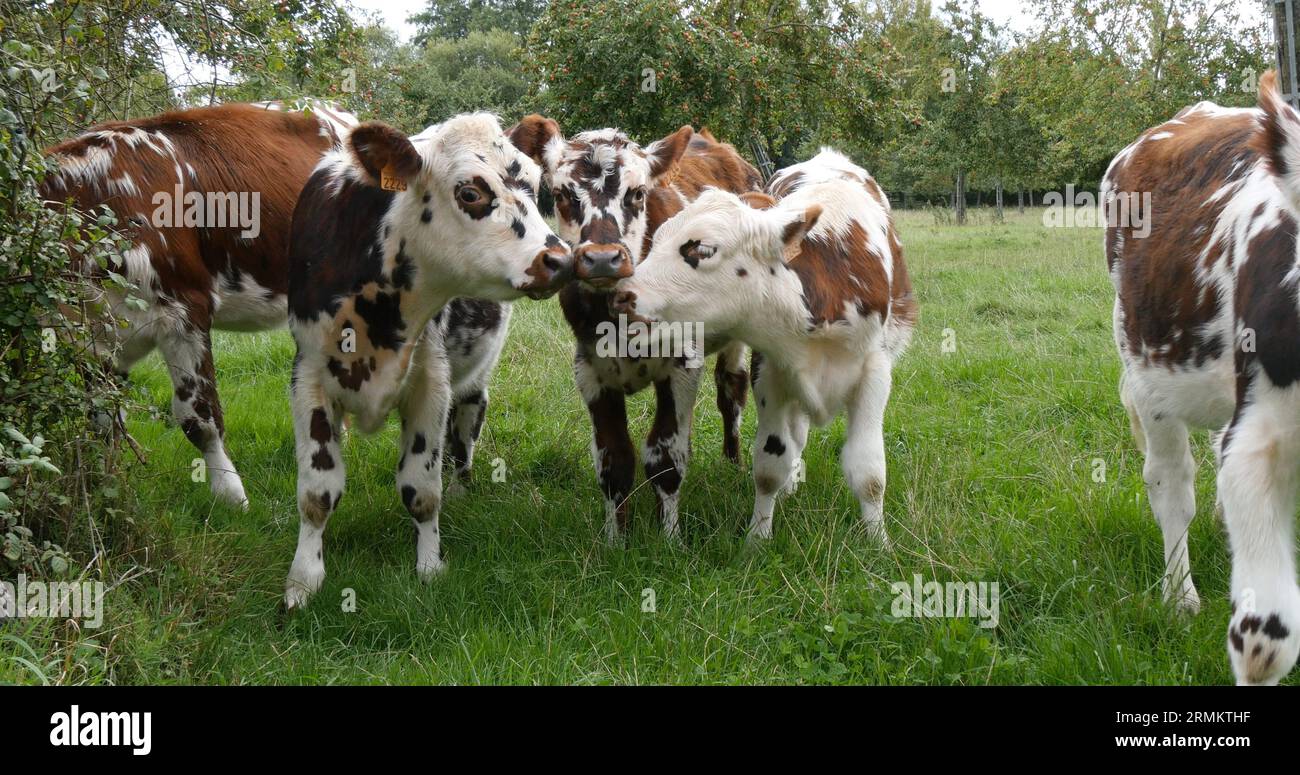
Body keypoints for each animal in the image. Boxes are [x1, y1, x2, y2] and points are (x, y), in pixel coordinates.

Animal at [41, 101, 358, 509]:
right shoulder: (91, 337)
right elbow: (104, 421)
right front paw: (106, 489)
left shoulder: (184, 309)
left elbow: (199, 418)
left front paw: (230, 495)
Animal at [283, 113, 573, 609]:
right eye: (470, 193)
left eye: (536, 187)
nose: (558, 260)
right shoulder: (308, 378)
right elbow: (317, 493)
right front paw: (303, 579)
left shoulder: (431, 383)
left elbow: (421, 489)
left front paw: (430, 565)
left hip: (471, 387)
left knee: (464, 437)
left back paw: (461, 487)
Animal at [512, 116, 763, 541]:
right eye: (561, 194)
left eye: (637, 193)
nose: (602, 259)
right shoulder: (590, 371)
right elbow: (615, 460)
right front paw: (615, 540)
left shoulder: (682, 364)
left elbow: (666, 457)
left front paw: (670, 538)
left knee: (731, 391)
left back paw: (733, 464)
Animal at [612, 149, 916, 545]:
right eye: (657, 239)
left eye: (702, 249)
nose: (622, 295)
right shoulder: (770, 370)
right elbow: (771, 464)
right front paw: (757, 539)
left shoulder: (874, 372)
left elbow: (869, 471)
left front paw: (878, 542)